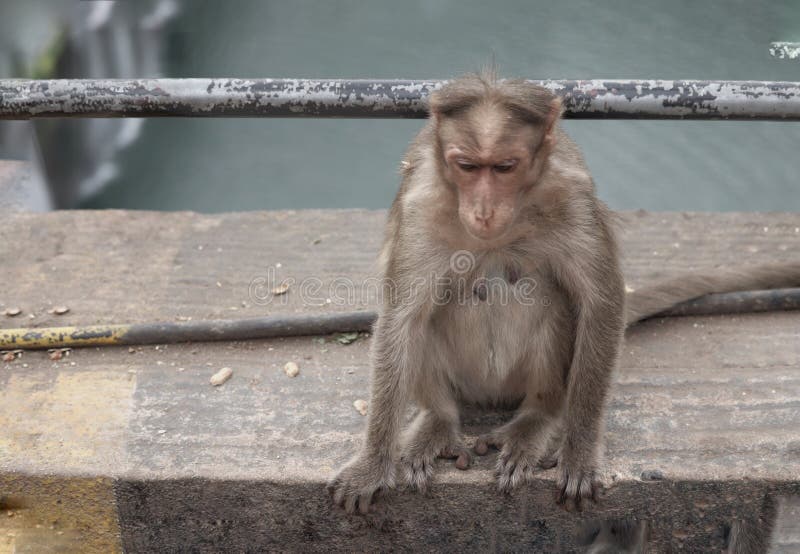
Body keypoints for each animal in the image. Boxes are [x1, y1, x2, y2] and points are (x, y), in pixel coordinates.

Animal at [327, 71, 800, 516]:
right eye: (466, 166)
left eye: (504, 167)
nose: (482, 209)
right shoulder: (421, 206)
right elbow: (401, 317)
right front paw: (372, 464)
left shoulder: (572, 196)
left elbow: (601, 301)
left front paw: (580, 450)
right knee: (427, 320)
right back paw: (438, 419)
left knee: (550, 304)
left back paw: (538, 418)